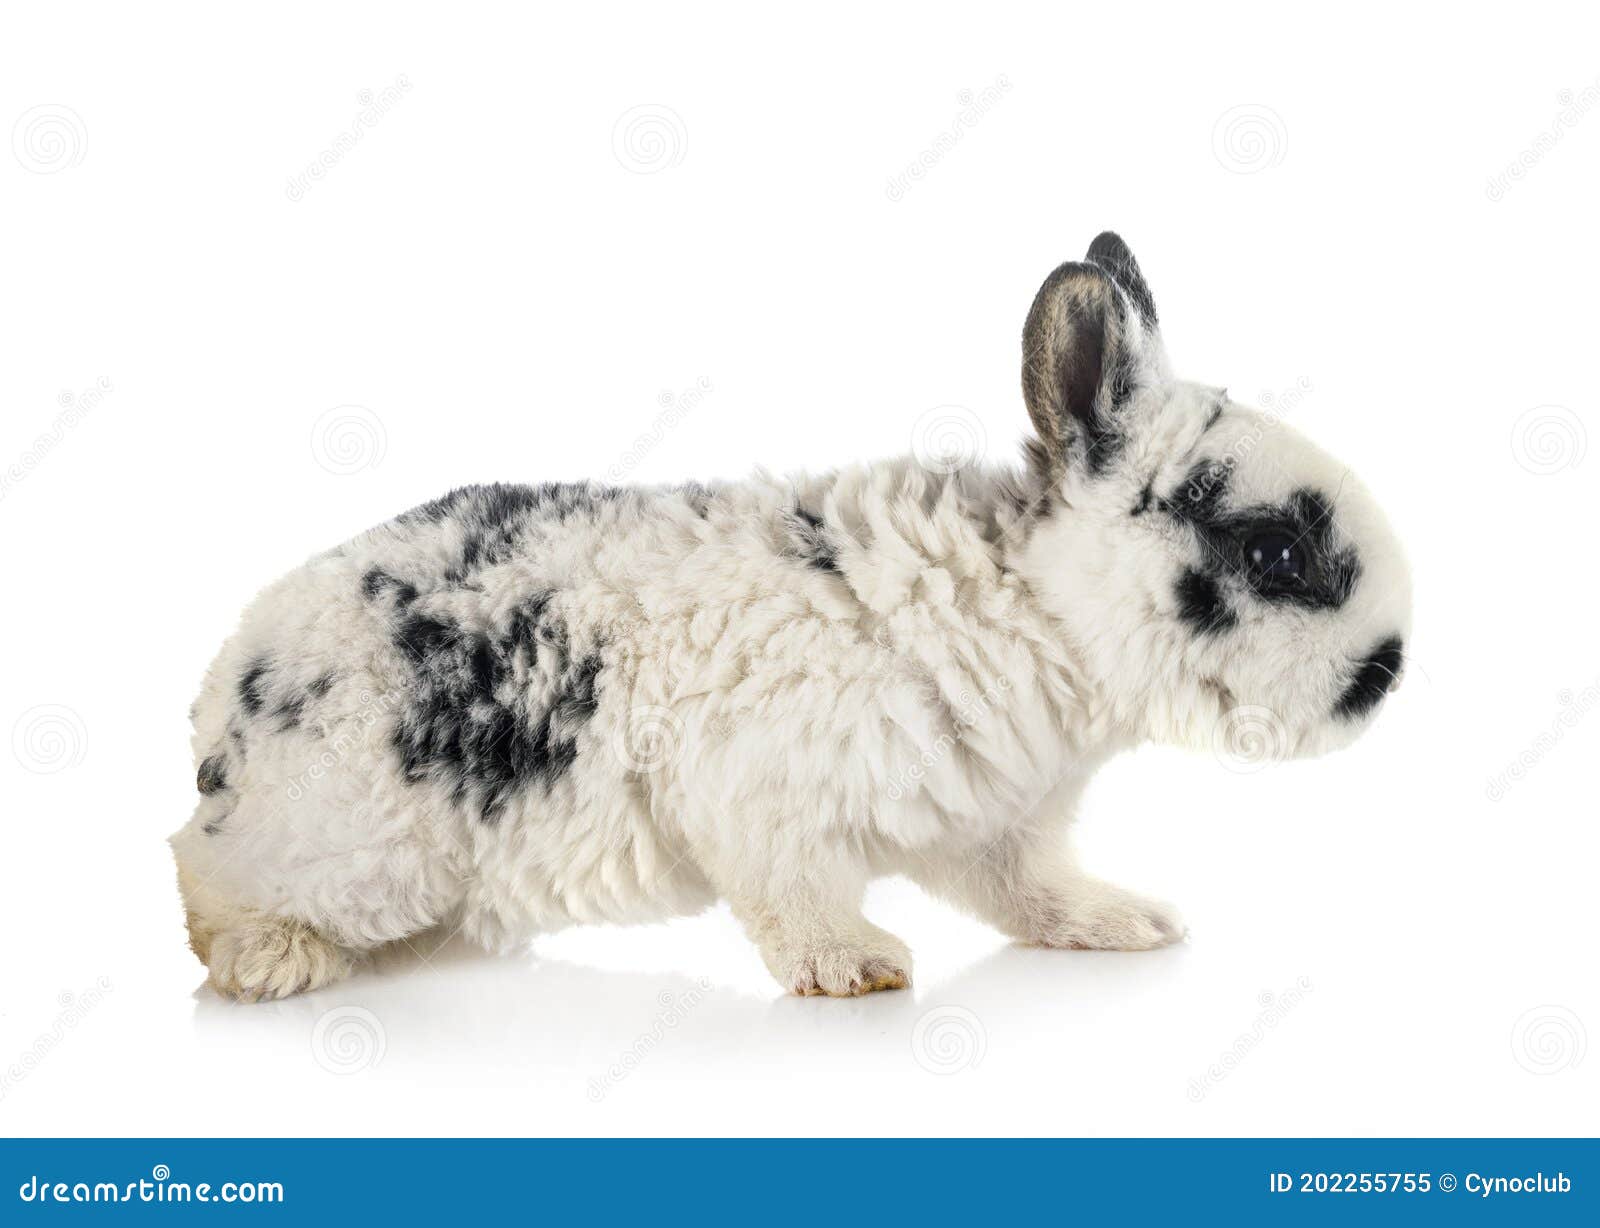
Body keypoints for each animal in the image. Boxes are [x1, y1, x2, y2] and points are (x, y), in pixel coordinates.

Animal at [170, 232, 1411, 1001]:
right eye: (1274, 550)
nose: (1388, 670)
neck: (1033, 607)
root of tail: (224, 711)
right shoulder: (758, 804)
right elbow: (792, 900)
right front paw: (858, 968)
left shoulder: (1001, 826)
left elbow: (1032, 894)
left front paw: (1128, 923)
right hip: (357, 853)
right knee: (200, 882)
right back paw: (274, 964)